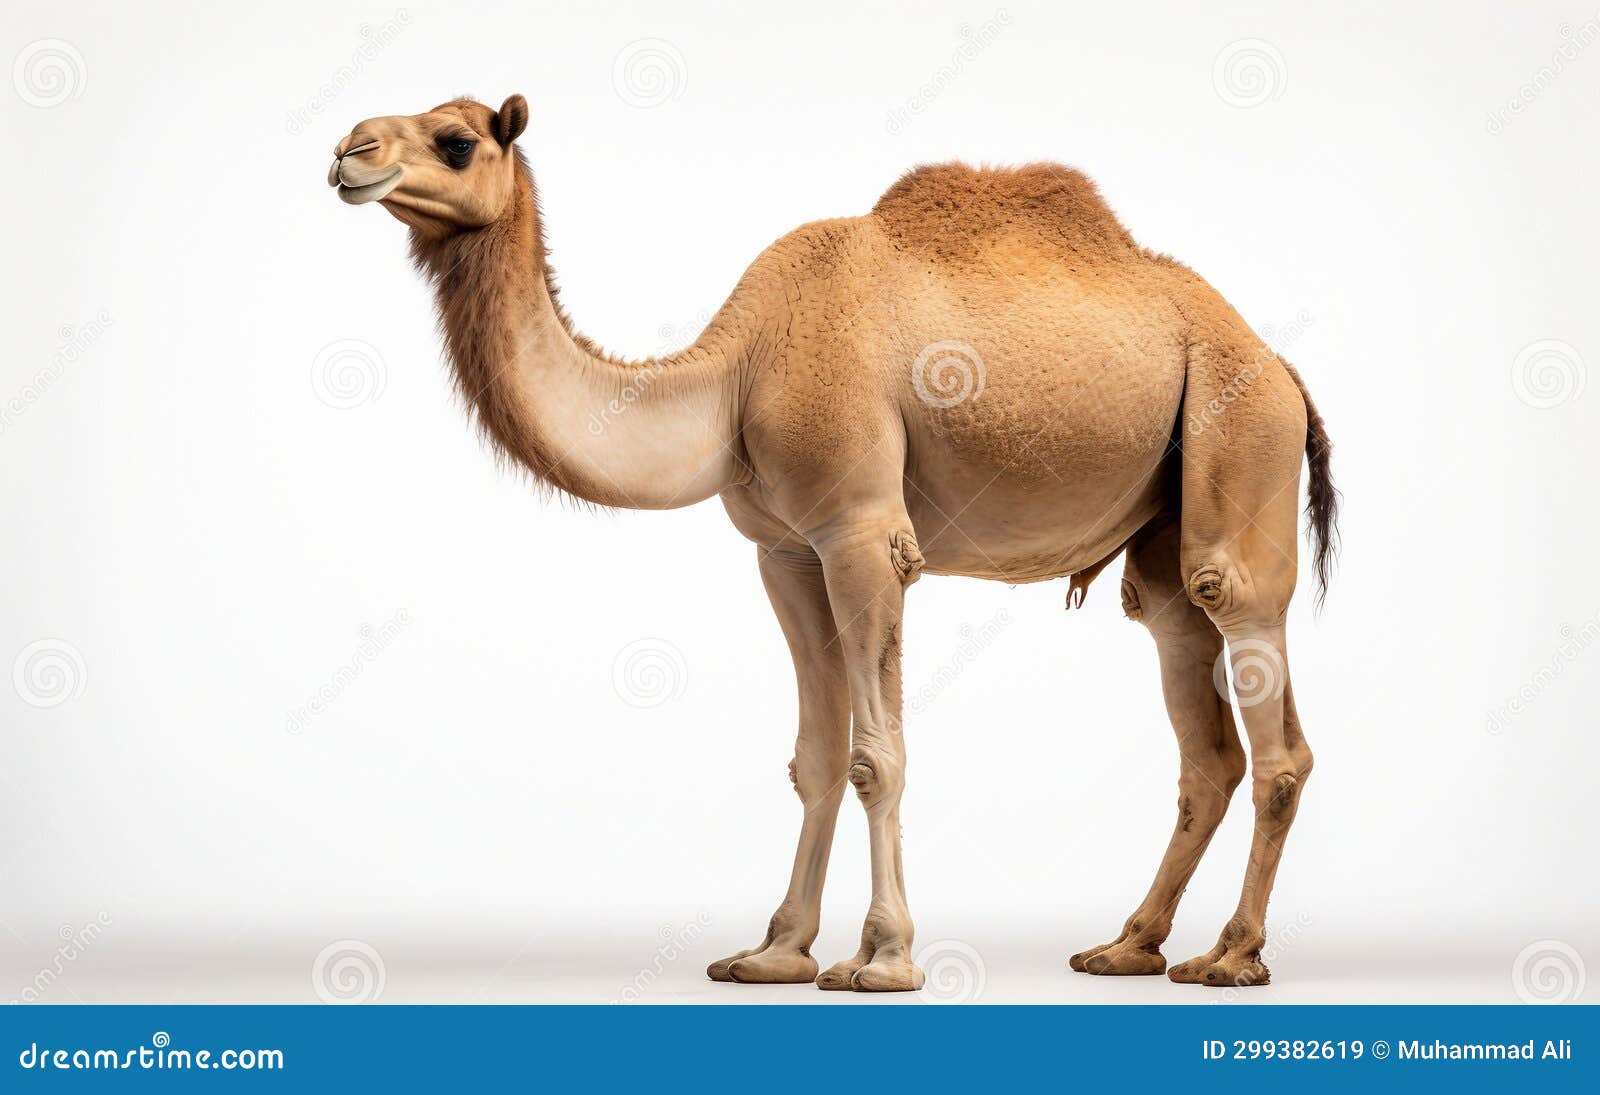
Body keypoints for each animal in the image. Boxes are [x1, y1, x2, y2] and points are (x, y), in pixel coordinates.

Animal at [328, 95, 1337, 992]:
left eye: (455, 140)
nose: (348, 151)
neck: (738, 372)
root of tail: (1283, 367)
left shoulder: (862, 531)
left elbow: (873, 755)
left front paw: (882, 958)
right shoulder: (785, 550)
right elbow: (814, 756)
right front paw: (775, 951)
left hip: (1240, 437)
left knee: (1265, 702)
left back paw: (1231, 956)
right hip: (1164, 528)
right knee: (1195, 711)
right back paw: (1130, 945)